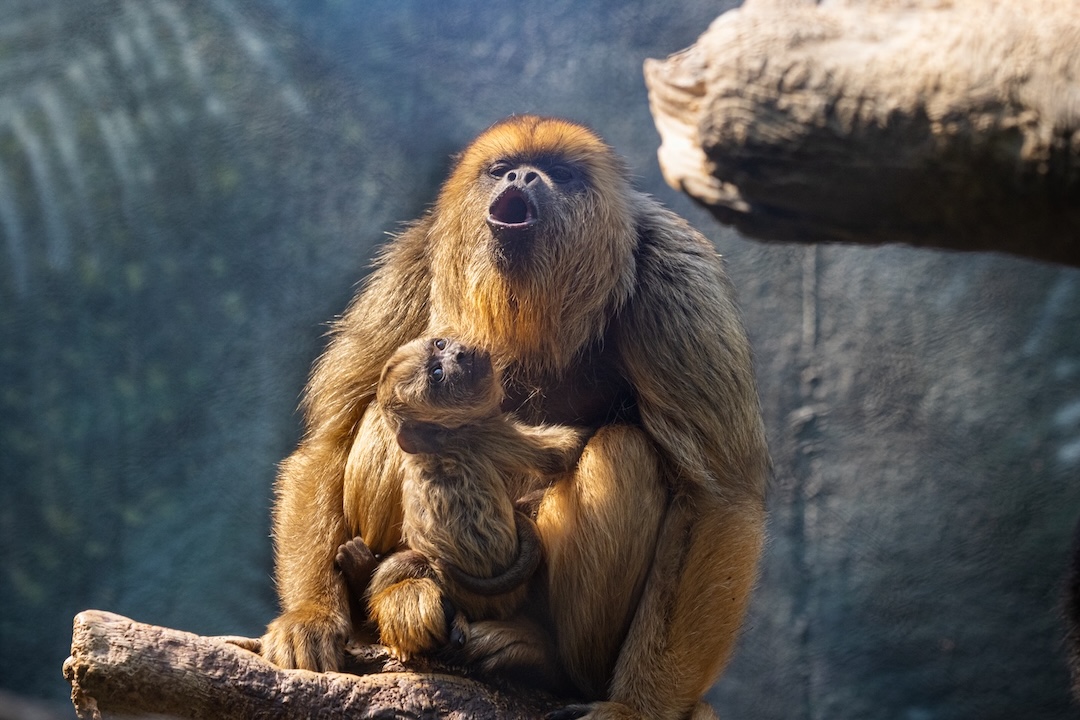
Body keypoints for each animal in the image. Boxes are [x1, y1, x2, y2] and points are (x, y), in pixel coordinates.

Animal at [354, 336, 585, 665]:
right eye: (437, 375)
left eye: (439, 344)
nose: (459, 352)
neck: (440, 441)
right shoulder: (490, 433)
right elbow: (564, 453)